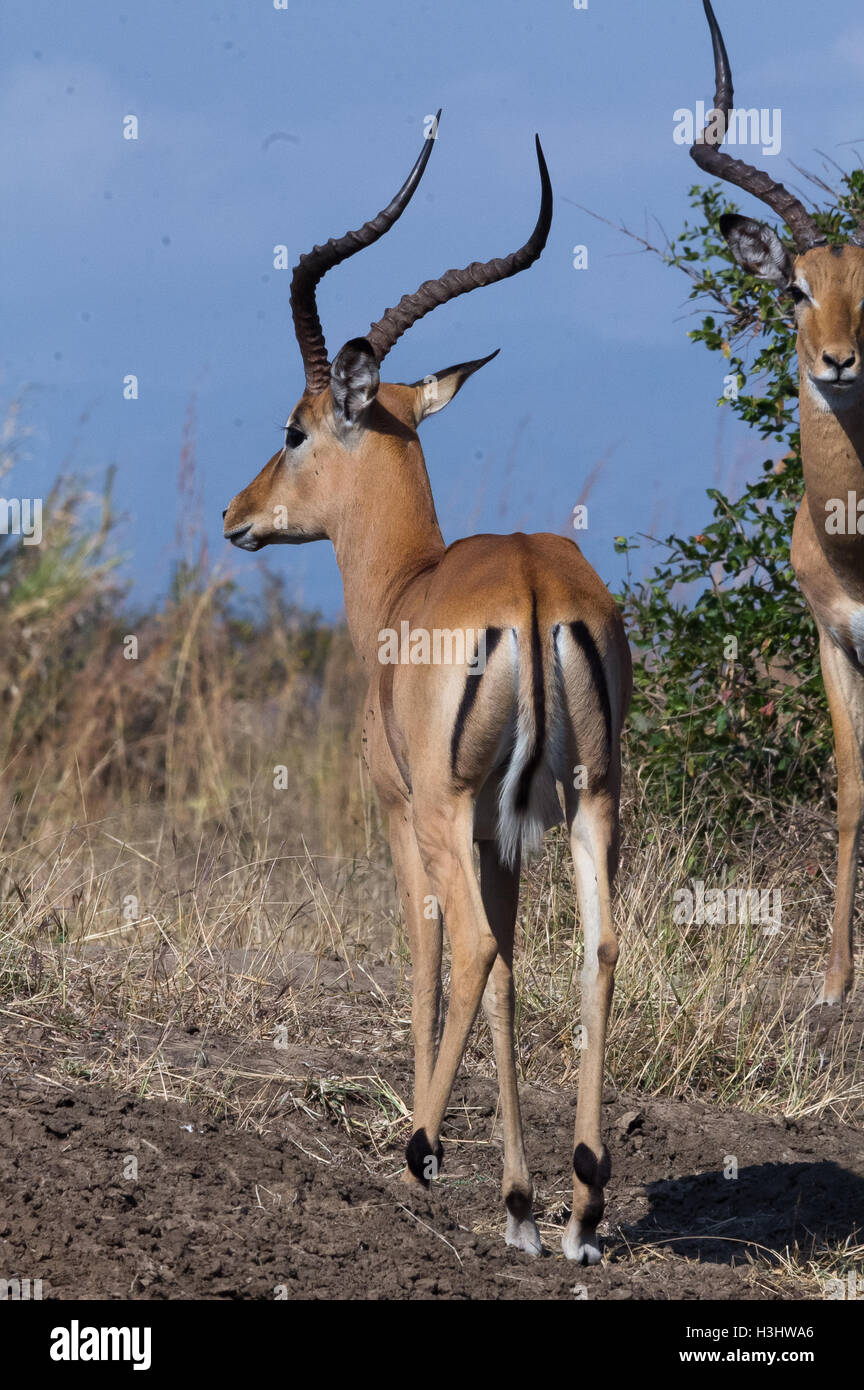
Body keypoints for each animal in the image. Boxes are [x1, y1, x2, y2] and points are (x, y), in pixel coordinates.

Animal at [223, 117, 631, 1262]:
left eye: (294, 427)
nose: (237, 515)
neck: (407, 580)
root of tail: (536, 586)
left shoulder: (405, 813)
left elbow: (429, 952)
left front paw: (445, 1158)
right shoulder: (510, 832)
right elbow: (511, 982)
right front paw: (522, 1200)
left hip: (450, 807)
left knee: (473, 946)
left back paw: (420, 1149)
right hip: (593, 800)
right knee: (596, 947)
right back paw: (582, 1204)